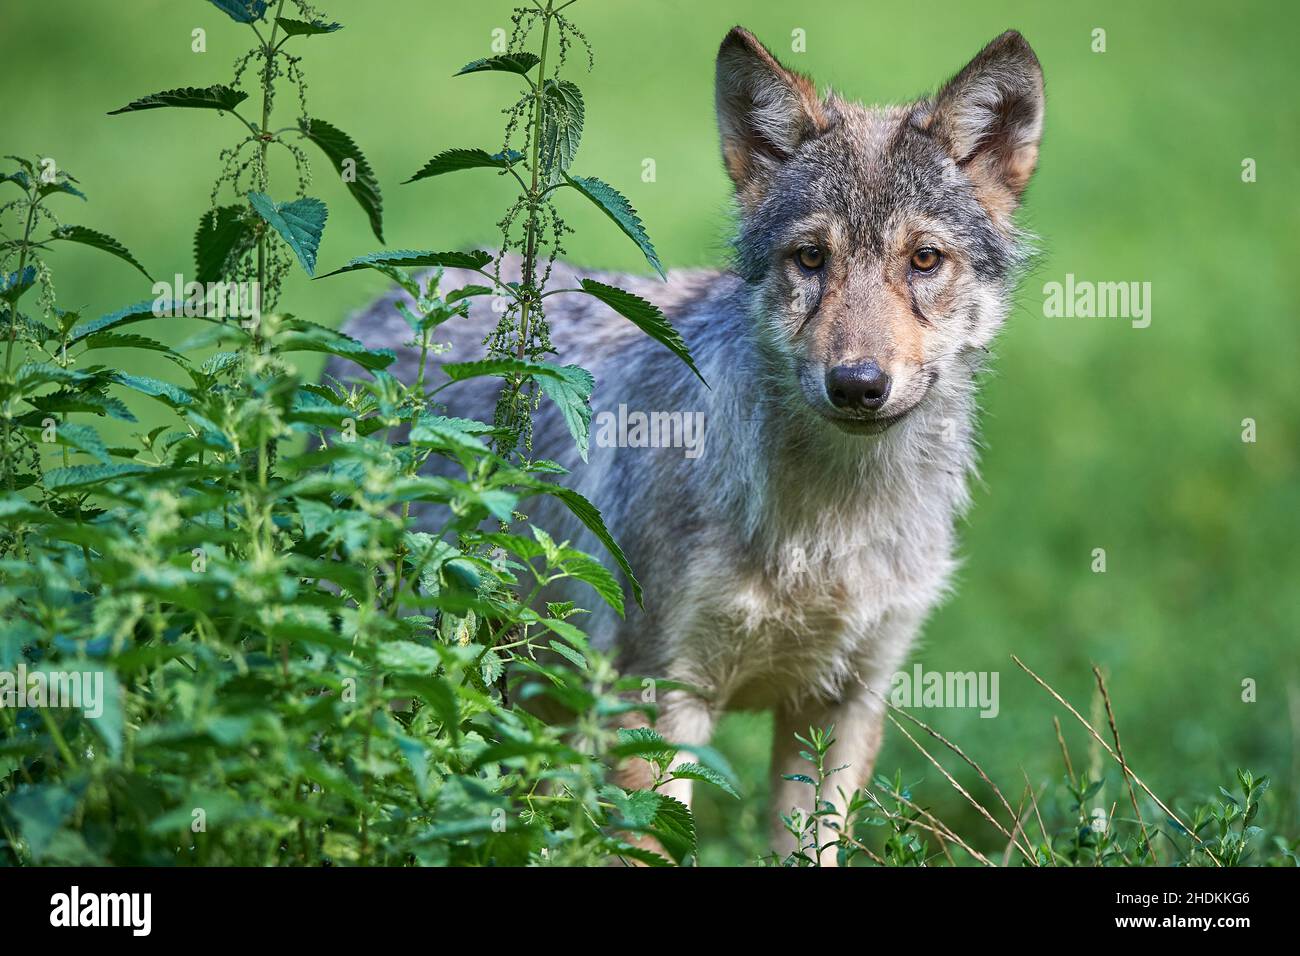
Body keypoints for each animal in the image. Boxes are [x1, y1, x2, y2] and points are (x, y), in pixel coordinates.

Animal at [331, 26, 1044, 863]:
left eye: (924, 260)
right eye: (811, 259)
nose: (857, 385)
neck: (829, 527)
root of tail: (385, 305)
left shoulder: (842, 705)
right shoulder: (661, 699)